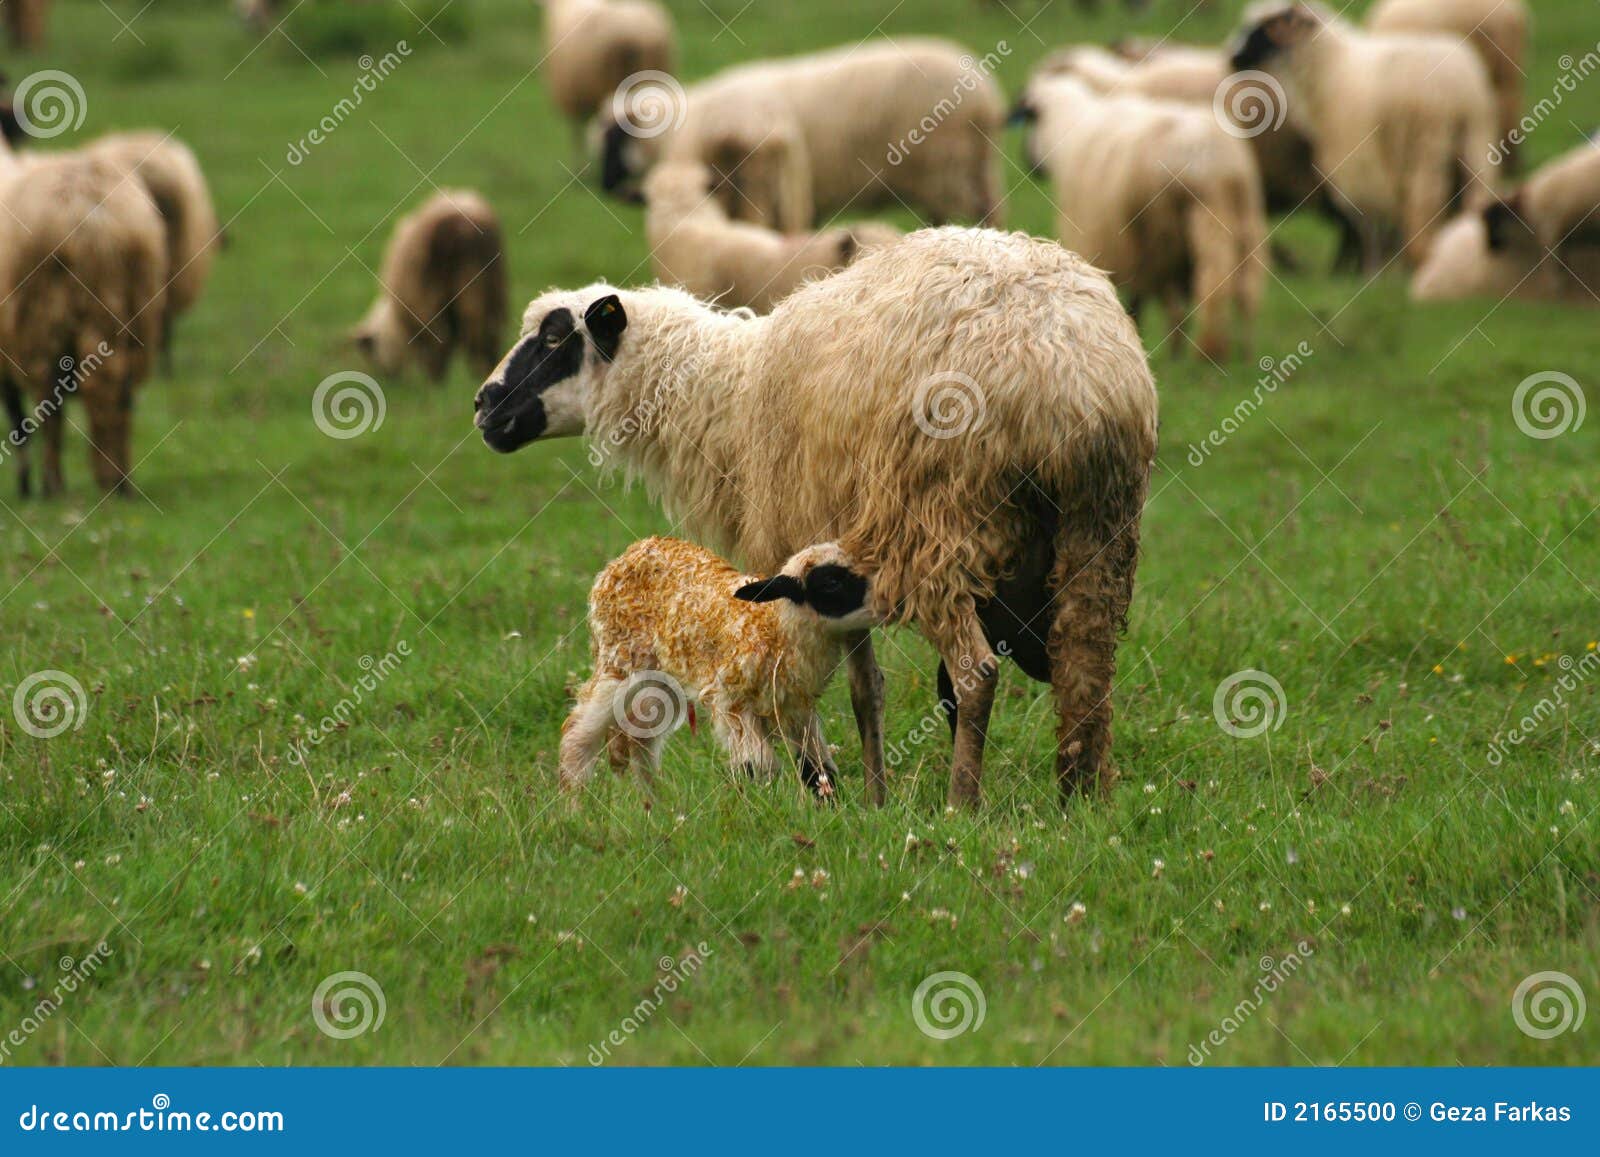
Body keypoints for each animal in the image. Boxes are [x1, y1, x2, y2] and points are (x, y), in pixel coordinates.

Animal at [0, 150, 166, 497]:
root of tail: (91, 215)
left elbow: (17, 420)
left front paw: (24, 484)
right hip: (130, 311)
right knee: (120, 388)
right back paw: (120, 480)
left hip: (45, 317)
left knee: (53, 399)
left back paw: (57, 484)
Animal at [352, 189, 508, 382]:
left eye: (372, 355)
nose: (389, 379)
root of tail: (459, 226)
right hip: (486, 290)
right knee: (484, 336)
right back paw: (484, 373)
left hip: (429, 299)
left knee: (441, 341)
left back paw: (437, 383)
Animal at [559, 536, 879, 800]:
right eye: (831, 583)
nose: (883, 601)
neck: (775, 627)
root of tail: (630, 553)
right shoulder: (730, 701)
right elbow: (757, 765)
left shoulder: (794, 706)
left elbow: (816, 768)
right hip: (620, 662)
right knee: (578, 732)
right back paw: (574, 807)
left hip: (662, 683)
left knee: (640, 740)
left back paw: (653, 807)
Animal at [1014, 74, 1268, 361]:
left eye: (1029, 122)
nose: (1029, 165)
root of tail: (1208, 158)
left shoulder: (1102, 238)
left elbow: (1134, 299)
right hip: (1243, 214)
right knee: (1246, 288)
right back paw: (1244, 352)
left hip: (1163, 233)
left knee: (1185, 298)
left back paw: (1188, 352)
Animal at [1229, 2, 1499, 269]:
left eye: (1271, 26)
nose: (1233, 58)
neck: (1329, 65)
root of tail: (1459, 90)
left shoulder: (1359, 163)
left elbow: (1367, 220)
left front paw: (1371, 268)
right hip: (1475, 142)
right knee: (1474, 198)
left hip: (1426, 148)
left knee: (1424, 204)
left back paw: (1420, 256)